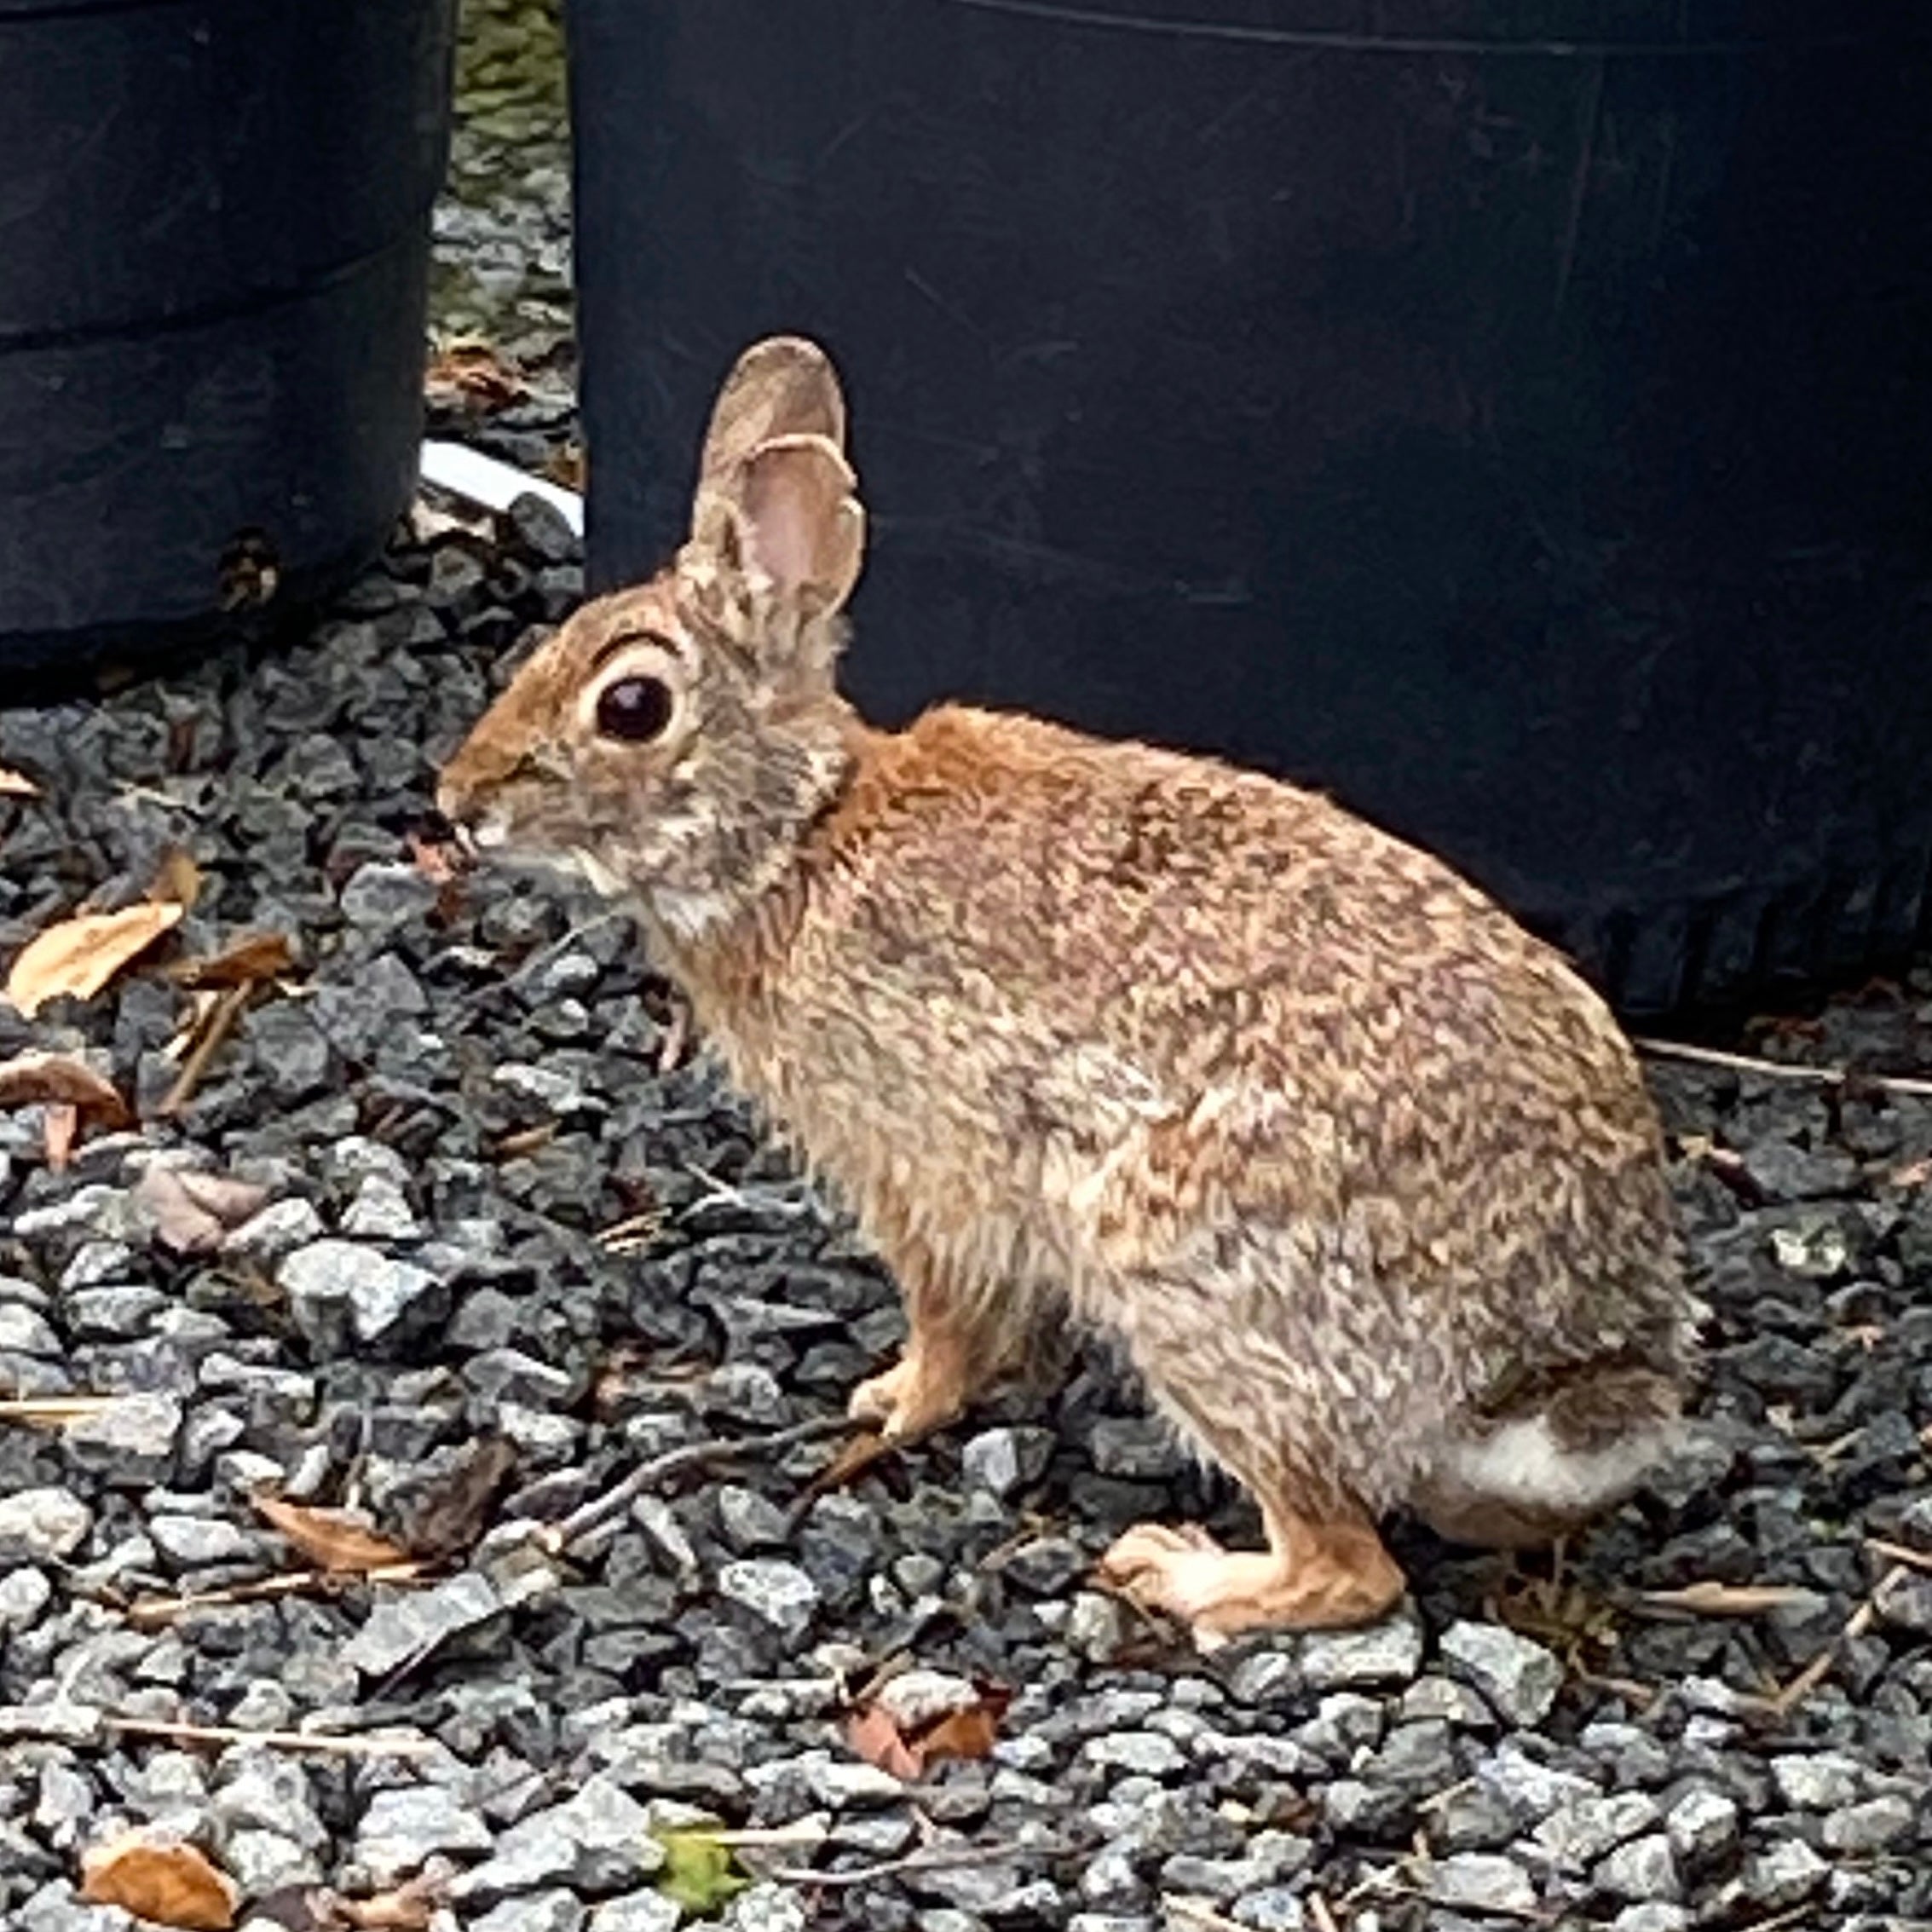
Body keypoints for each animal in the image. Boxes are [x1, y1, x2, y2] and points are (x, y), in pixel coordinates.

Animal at [438, 335, 1692, 1637]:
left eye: (631, 706)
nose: (458, 800)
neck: (796, 832)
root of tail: (1551, 1365)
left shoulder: (921, 1168)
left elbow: (947, 1317)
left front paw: (893, 1399)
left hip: (1183, 1278)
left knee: (1351, 1565)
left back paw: (1183, 1572)